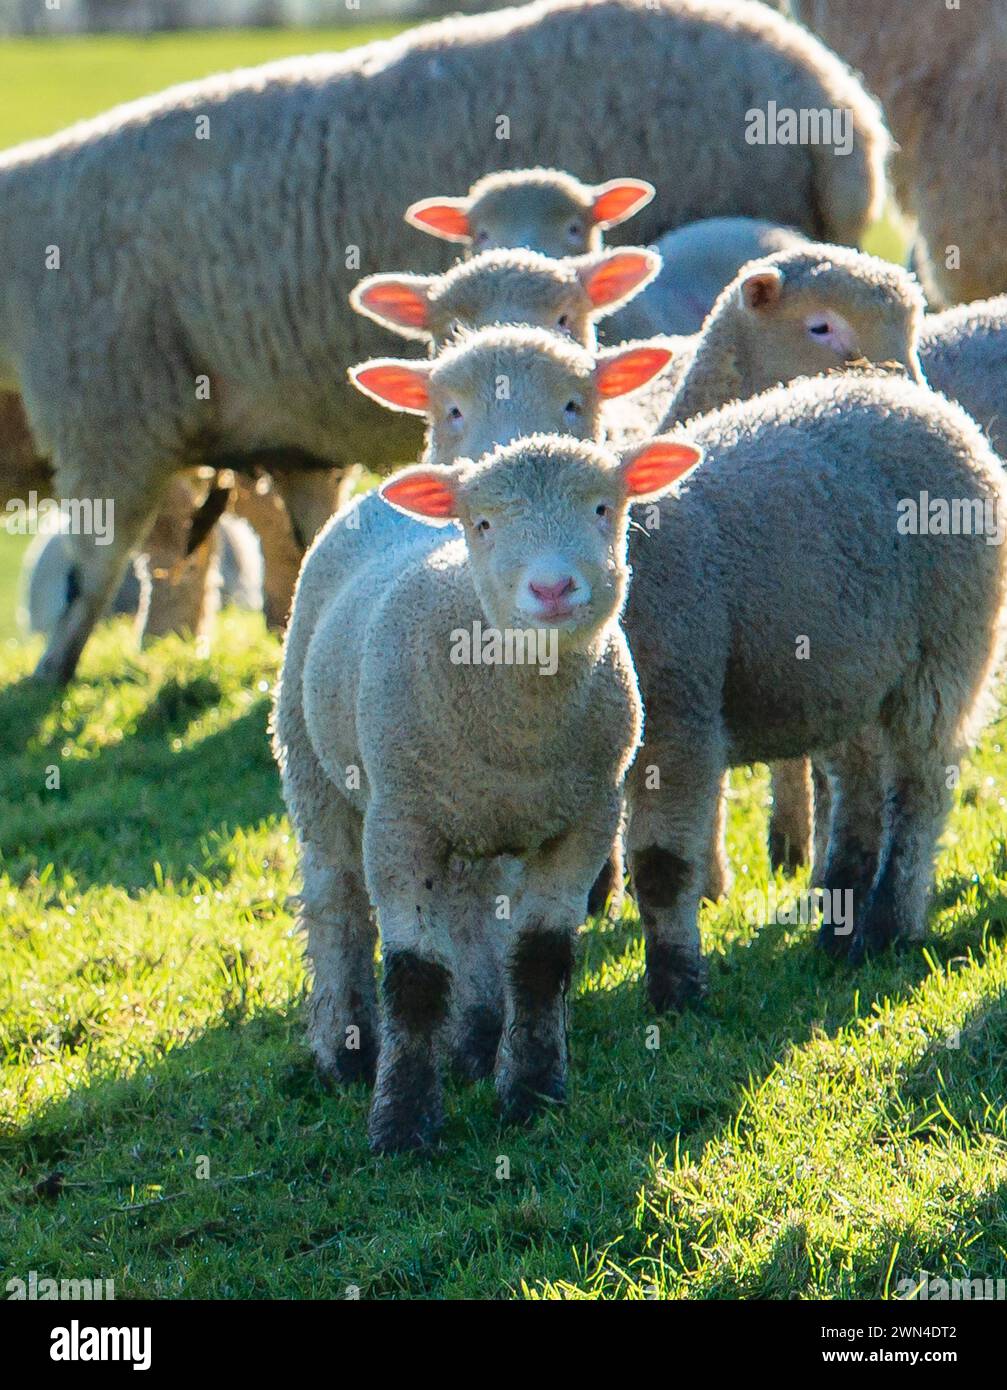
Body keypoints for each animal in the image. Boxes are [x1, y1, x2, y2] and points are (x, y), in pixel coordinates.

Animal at [272, 430, 701, 1150]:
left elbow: (539, 958)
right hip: (310, 761)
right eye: (483, 524)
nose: (552, 587)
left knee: (472, 909)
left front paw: (531, 1090)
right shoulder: (400, 822)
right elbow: (415, 976)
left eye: (602, 508)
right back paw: (345, 1050)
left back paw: (476, 1040)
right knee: (335, 901)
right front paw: (402, 1123)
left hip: (474, 817)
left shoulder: (587, 819)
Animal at [618, 373, 1007, 1011]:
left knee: (919, 791)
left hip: (943, 646)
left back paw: (888, 927)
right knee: (860, 791)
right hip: (844, 677)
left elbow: (660, 869)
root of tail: (929, 404)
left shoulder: (677, 724)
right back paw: (838, 923)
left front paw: (676, 993)